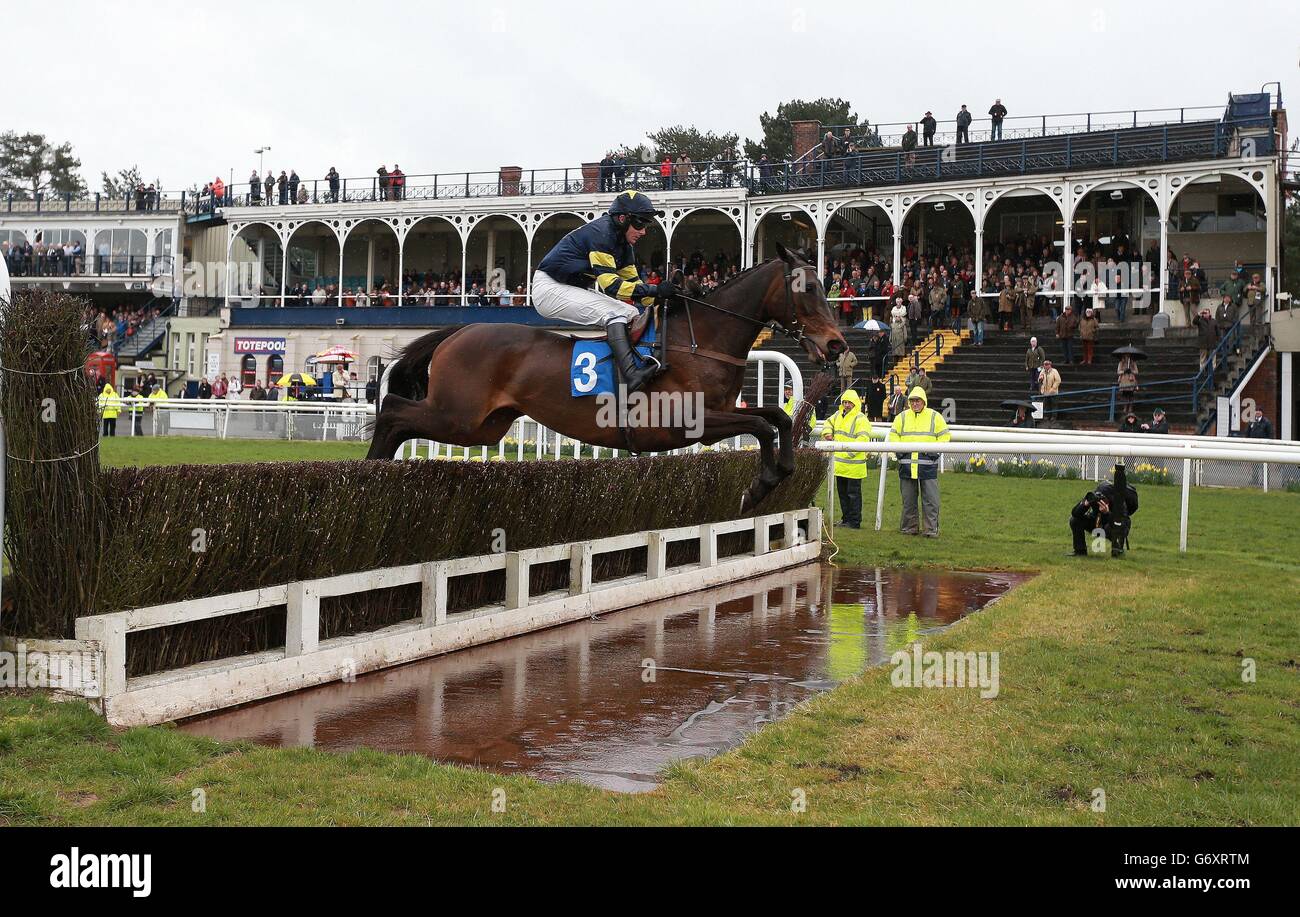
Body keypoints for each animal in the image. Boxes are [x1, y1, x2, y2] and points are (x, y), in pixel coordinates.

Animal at [366, 242, 848, 512]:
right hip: (457, 414)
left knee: (399, 418)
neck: (700, 341)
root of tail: (459, 330)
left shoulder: (724, 410)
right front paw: (758, 487)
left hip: (483, 426)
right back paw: (371, 471)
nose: (836, 345)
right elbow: (762, 427)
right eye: (807, 288)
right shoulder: (690, 422)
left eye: (827, 285)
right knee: (391, 409)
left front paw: (779, 473)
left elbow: (777, 419)